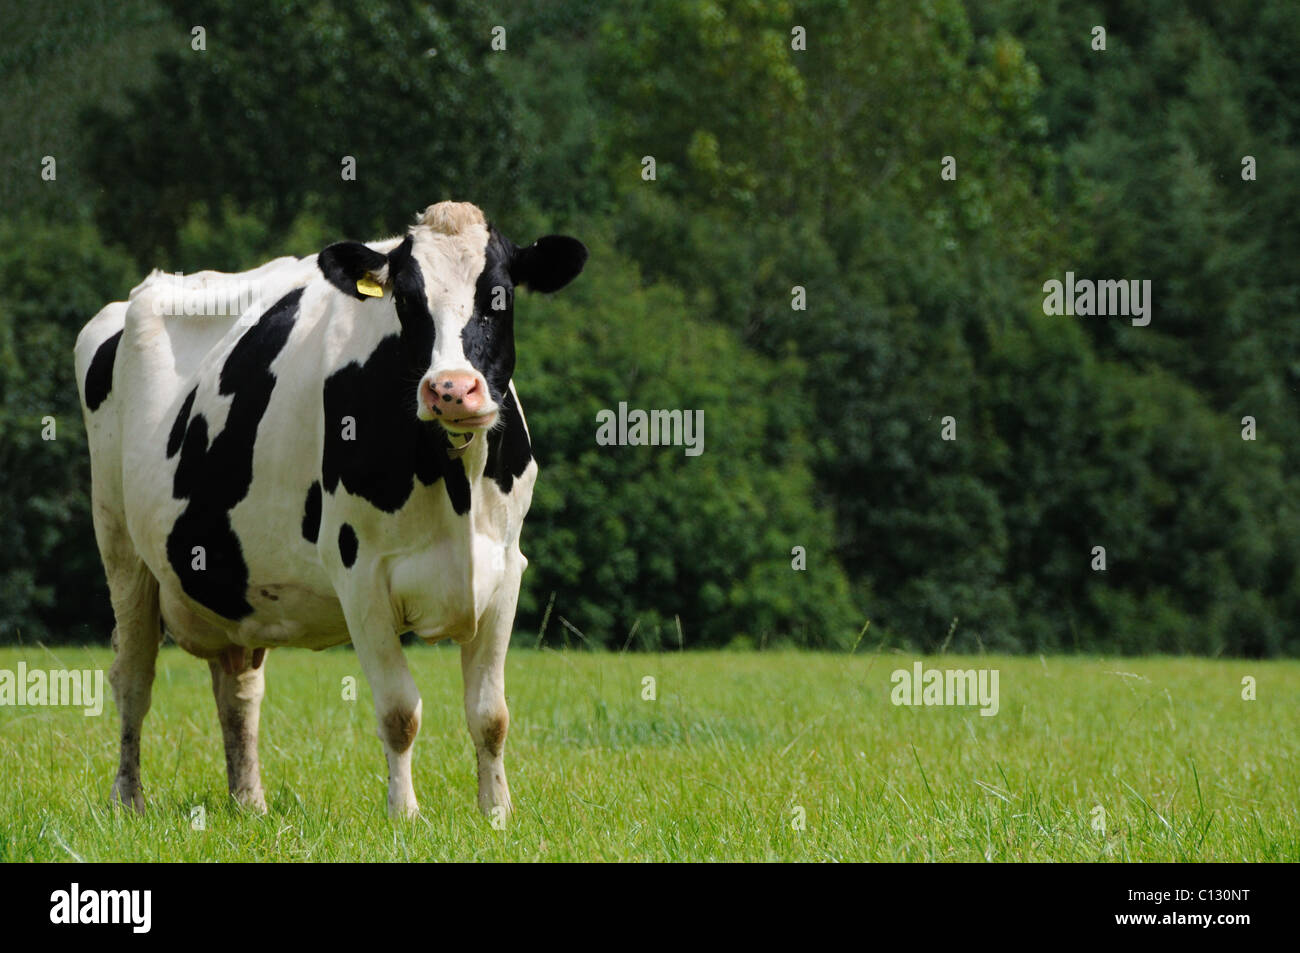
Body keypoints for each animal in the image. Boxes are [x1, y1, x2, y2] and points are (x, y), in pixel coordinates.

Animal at [74, 201, 587, 819]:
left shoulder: (505, 568)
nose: (451, 389)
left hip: (237, 586)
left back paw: (249, 803)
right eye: (406, 301)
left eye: (499, 295)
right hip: (120, 546)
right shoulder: (359, 573)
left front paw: (497, 816)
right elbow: (399, 711)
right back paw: (128, 800)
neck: (454, 479)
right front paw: (404, 815)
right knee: (132, 678)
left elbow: (491, 715)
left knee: (237, 689)